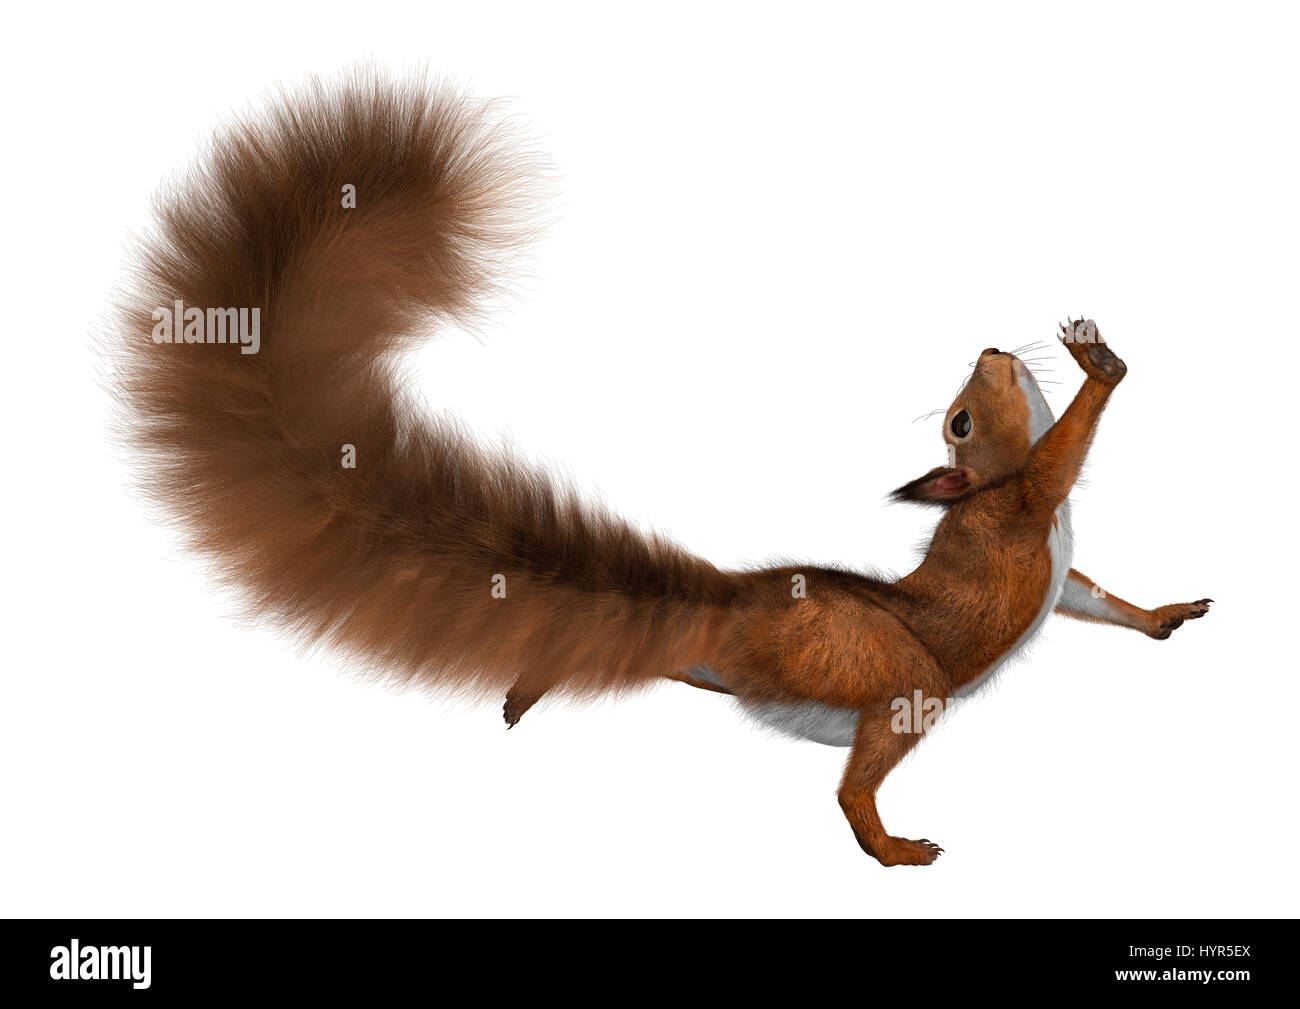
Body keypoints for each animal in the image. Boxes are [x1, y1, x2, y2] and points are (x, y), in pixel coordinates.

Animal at [111, 71, 1212, 868]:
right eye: (959, 420)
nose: (989, 345)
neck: (988, 498)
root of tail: (730, 606)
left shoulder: (1050, 557)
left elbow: (1095, 596)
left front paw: (1164, 616)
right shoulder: (1024, 504)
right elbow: (1067, 450)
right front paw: (1096, 360)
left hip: (701, 662)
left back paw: (532, 682)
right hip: (895, 678)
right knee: (851, 786)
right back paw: (892, 849)